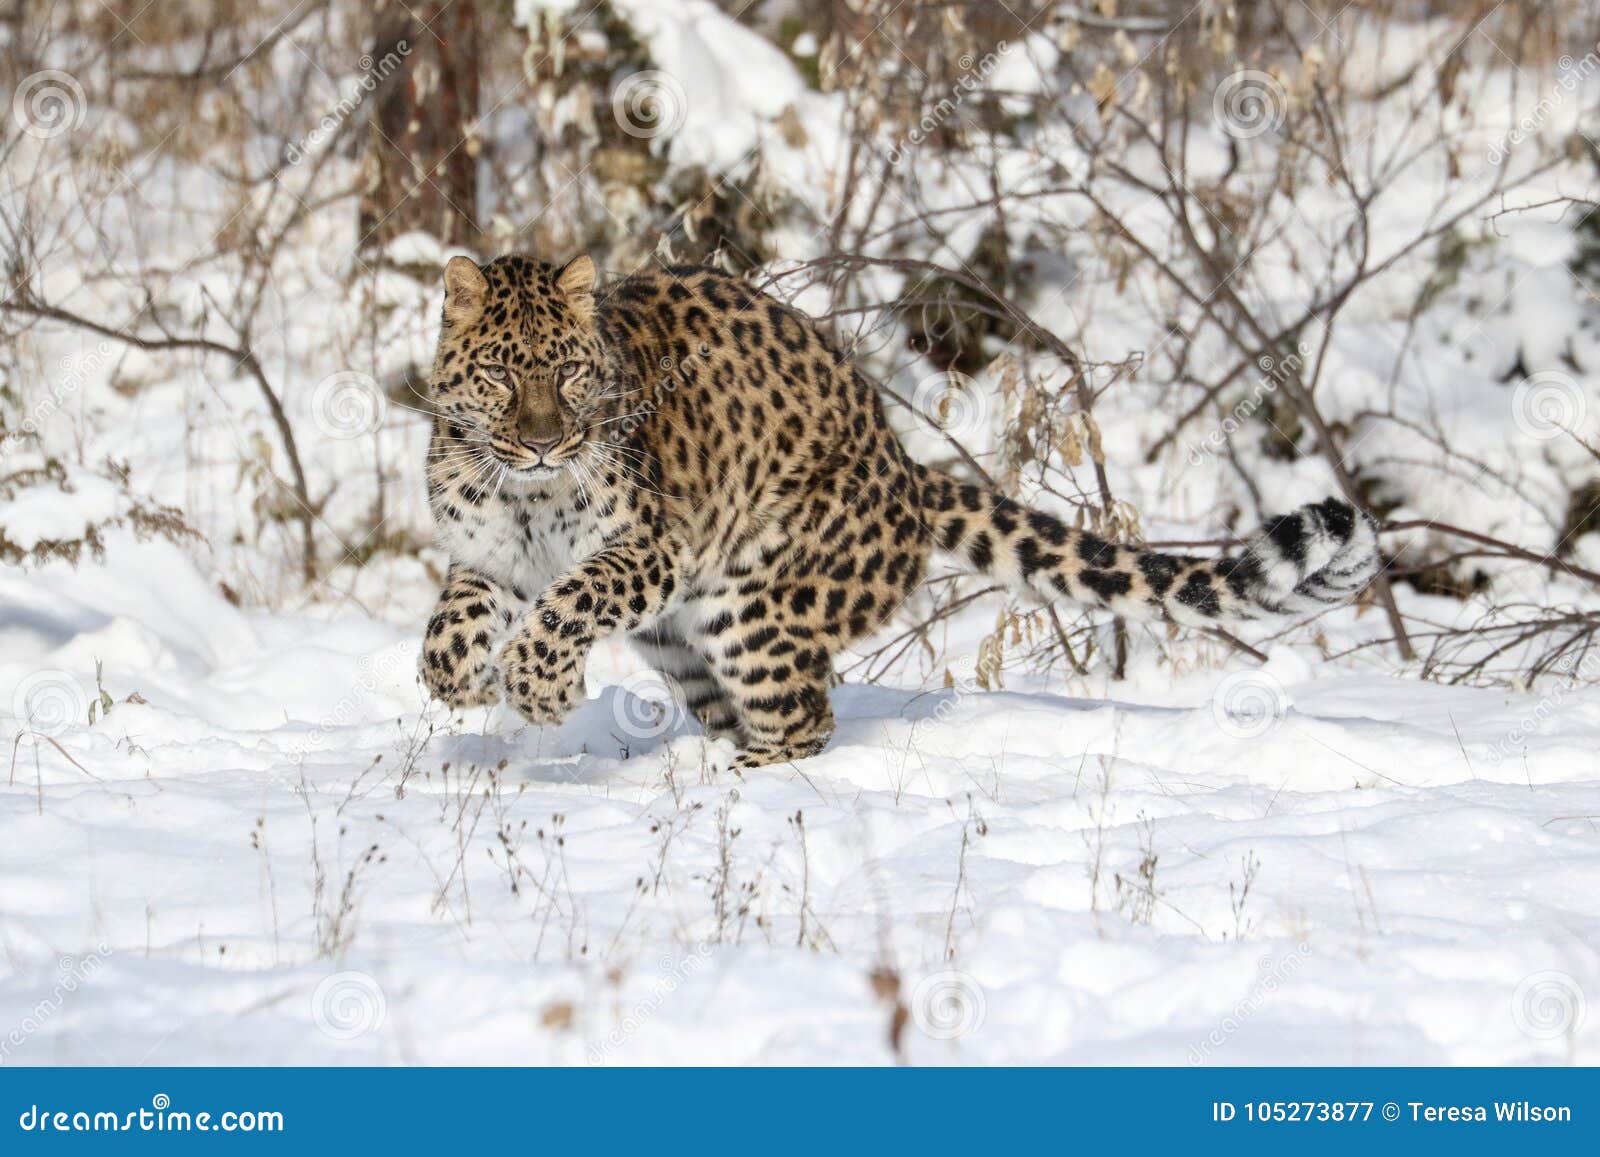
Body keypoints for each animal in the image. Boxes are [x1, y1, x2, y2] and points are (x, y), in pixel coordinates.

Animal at [420, 253, 1380, 768]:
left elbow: (570, 602)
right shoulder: (492, 558)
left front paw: (538, 688)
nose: (546, 442)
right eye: (502, 373)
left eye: (570, 372)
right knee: (745, 706)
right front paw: (464, 678)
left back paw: (738, 787)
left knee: (803, 719)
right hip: (680, 637)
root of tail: (905, 471)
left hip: (748, 600)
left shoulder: (650, 544)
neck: (523, 492)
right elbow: (449, 625)